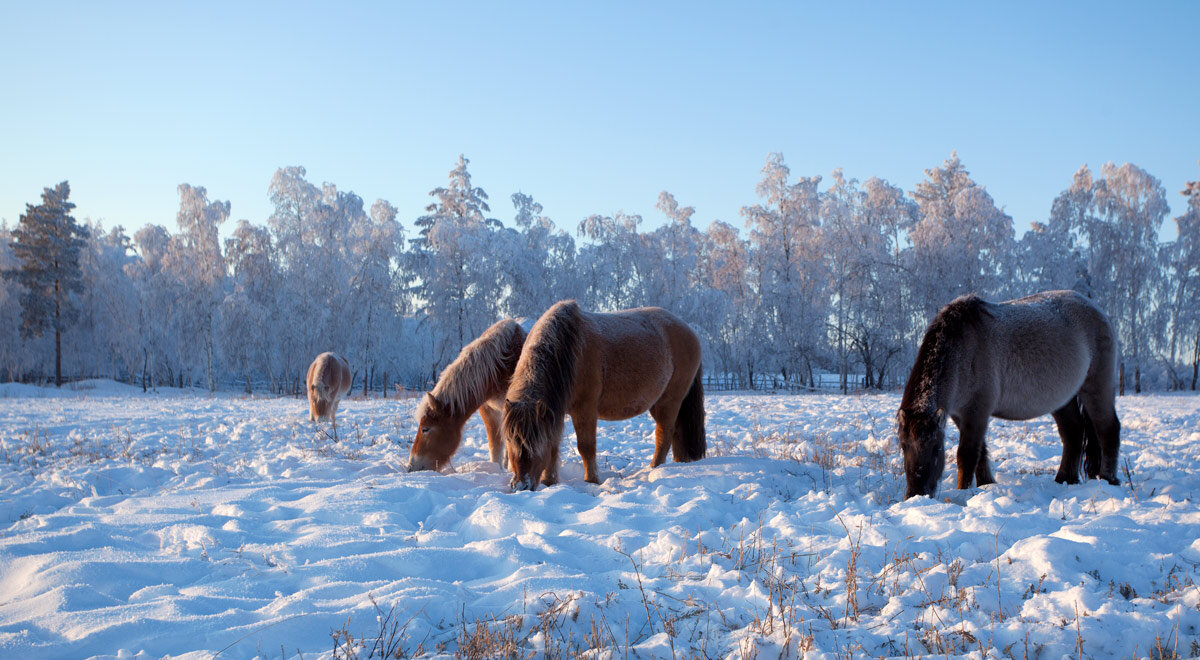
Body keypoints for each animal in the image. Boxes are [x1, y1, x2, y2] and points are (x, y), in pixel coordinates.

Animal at [501, 300, 705, 492]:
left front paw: (591, 480)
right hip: (658, 403)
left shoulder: (585, 409)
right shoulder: (554, 412)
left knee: (664, 435)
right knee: (677, 432)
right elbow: (554, 446)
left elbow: (586, 446)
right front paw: (549, 482)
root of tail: (690, 332)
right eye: (510, 440)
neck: (569, 348)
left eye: (534, 442)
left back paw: (654, 469)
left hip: (669, 401)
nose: (520, 486)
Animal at [902, 292, 1123, 499]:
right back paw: (1064, 479)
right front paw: (986, 485)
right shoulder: (959, 414)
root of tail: (1095, 309)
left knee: (1108, 429)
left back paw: (1108, 479)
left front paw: (963, 492)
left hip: (1096, 387)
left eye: (936, 448)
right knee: (1073, 432)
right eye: (904, 447)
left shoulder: (976, 413)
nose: (916, 494)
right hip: (1063, 400)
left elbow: (967, 454)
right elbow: (981, 452)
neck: (963, 350)